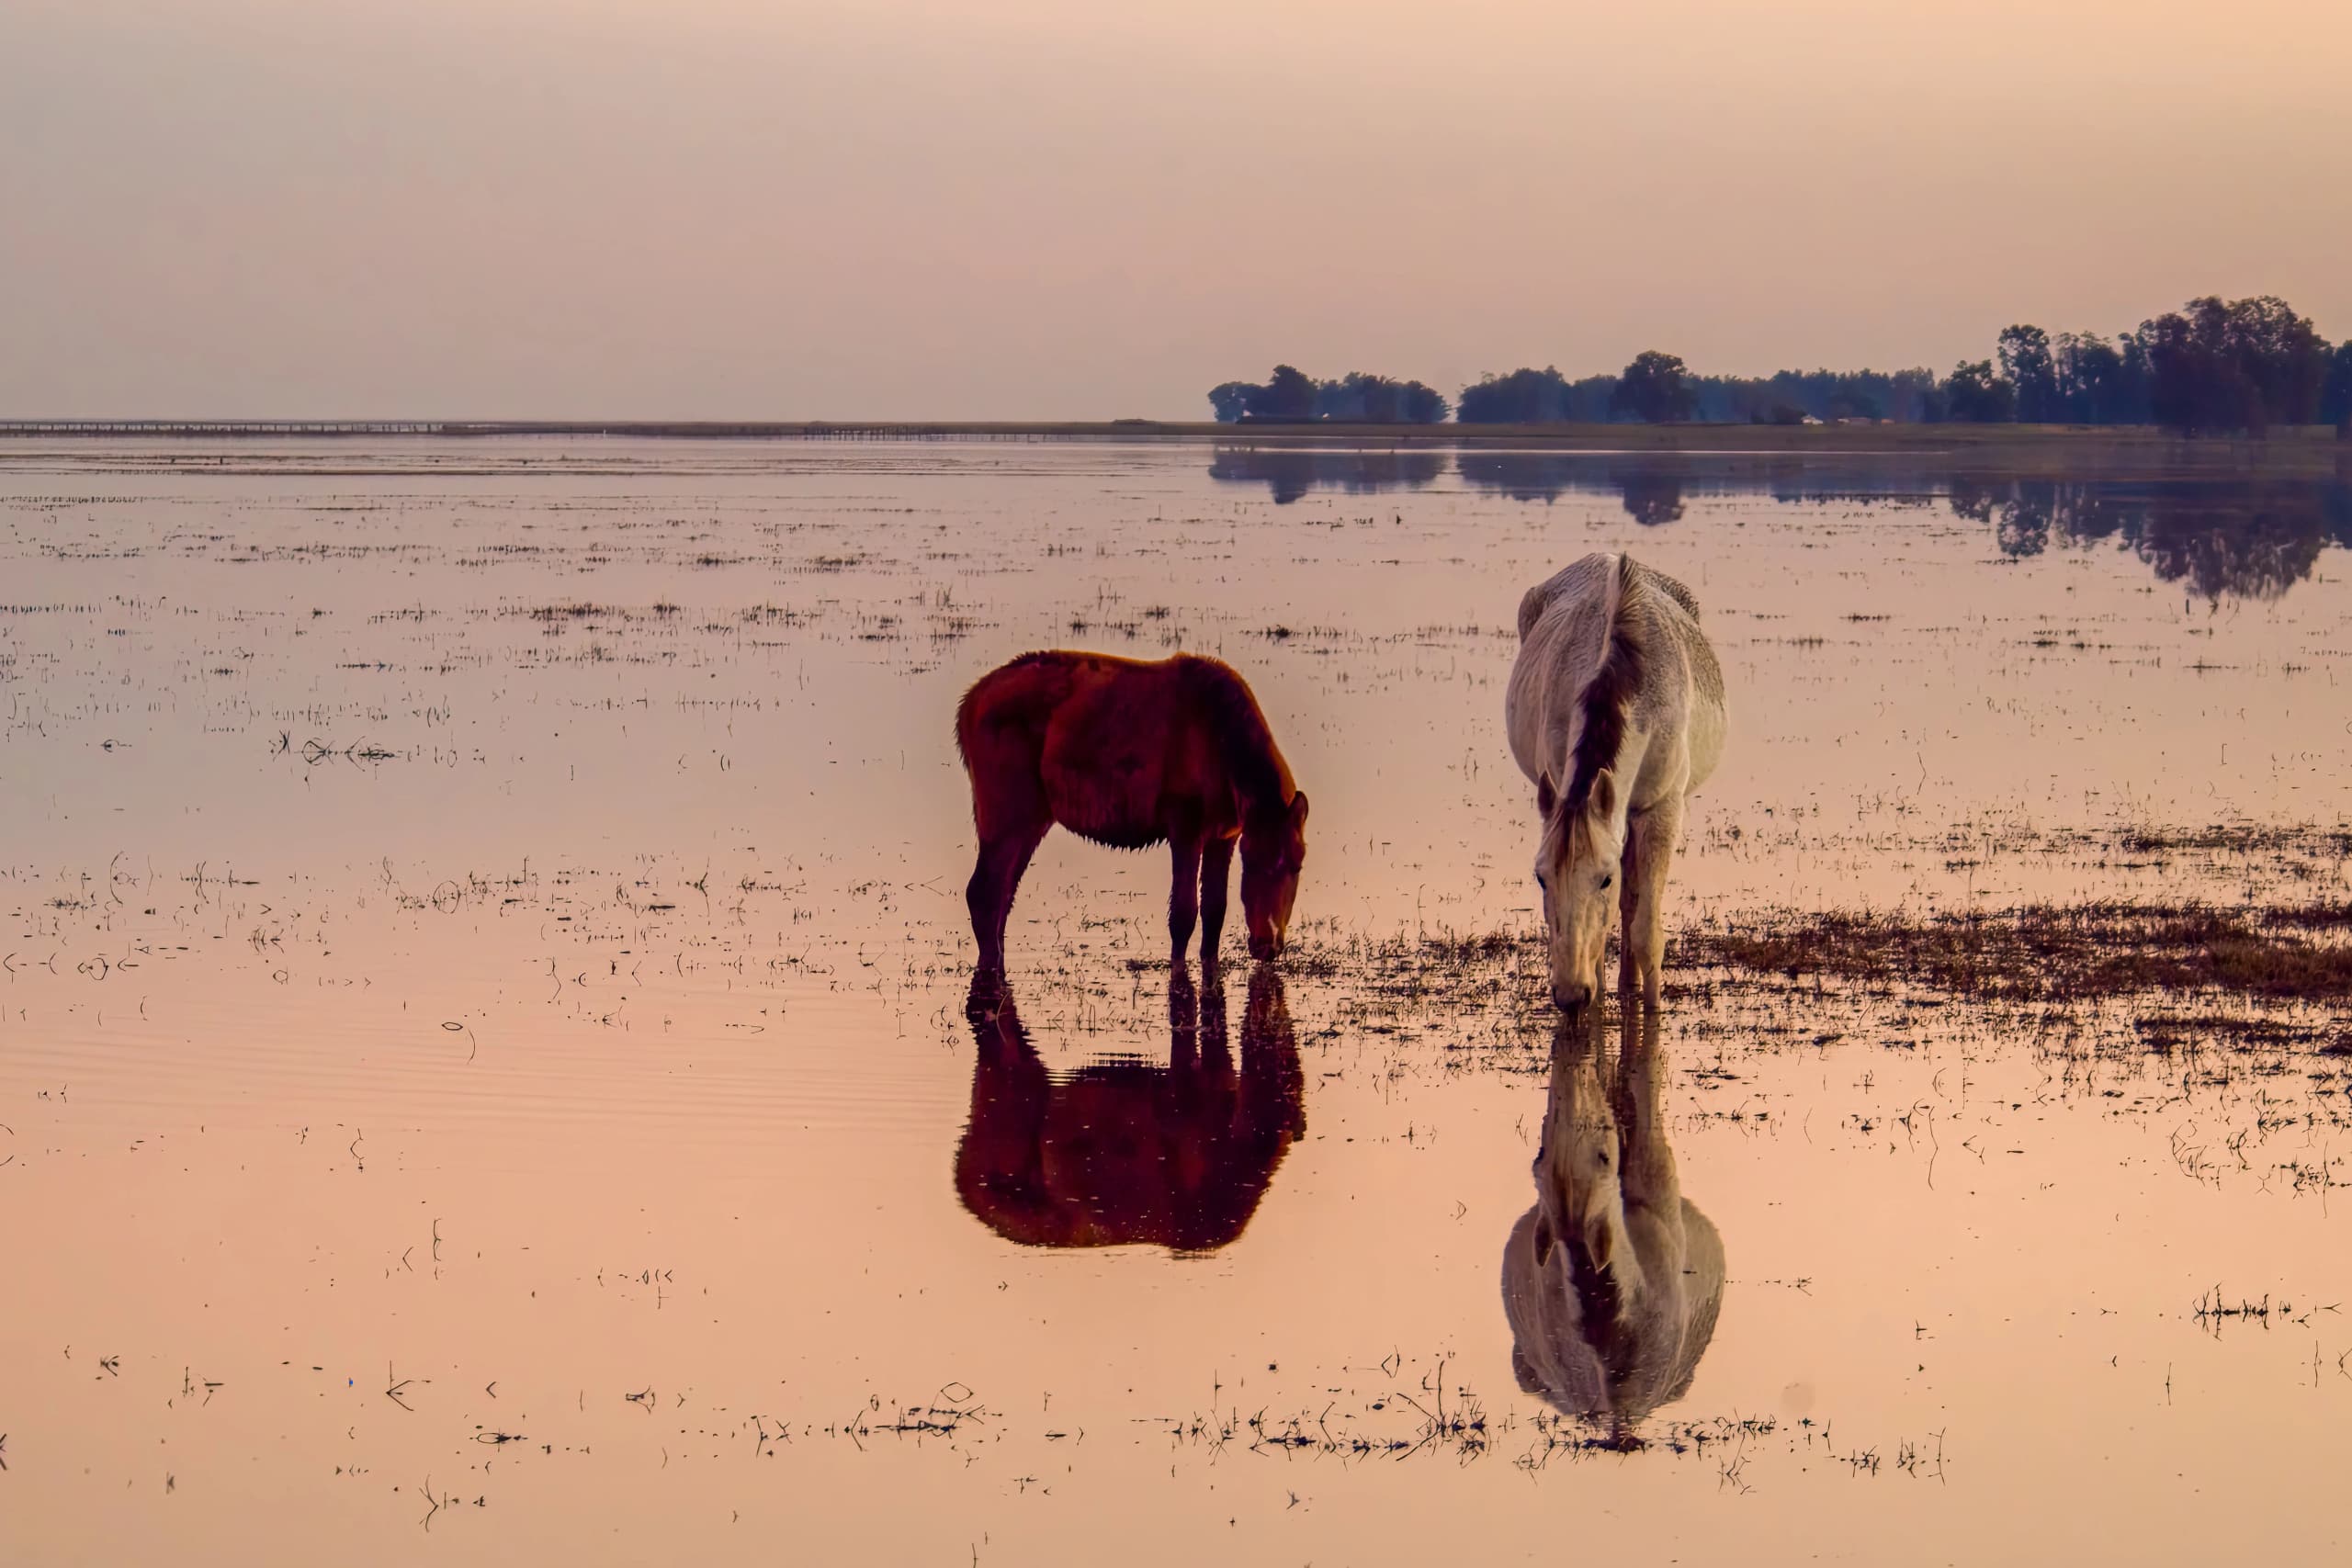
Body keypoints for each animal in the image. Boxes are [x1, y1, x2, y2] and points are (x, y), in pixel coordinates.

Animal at [955, 651, 1308, 977]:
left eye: (1296, 864)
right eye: (1256, 862)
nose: (1268, 944)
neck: (1226, 751)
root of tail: (967, 706)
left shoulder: (1224, 835)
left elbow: (1214, 913)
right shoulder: (1185, 826)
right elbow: (1183, 915)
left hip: (1032, 818)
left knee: (1002, 895)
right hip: (1005, 812)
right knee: (983, 893)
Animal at [1505, 552, 1725, 1010]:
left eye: (1603, 877)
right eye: (1540, 877)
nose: (1571, 995)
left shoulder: (1660, 811)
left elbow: (1646, 932)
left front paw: (1651, 1011)